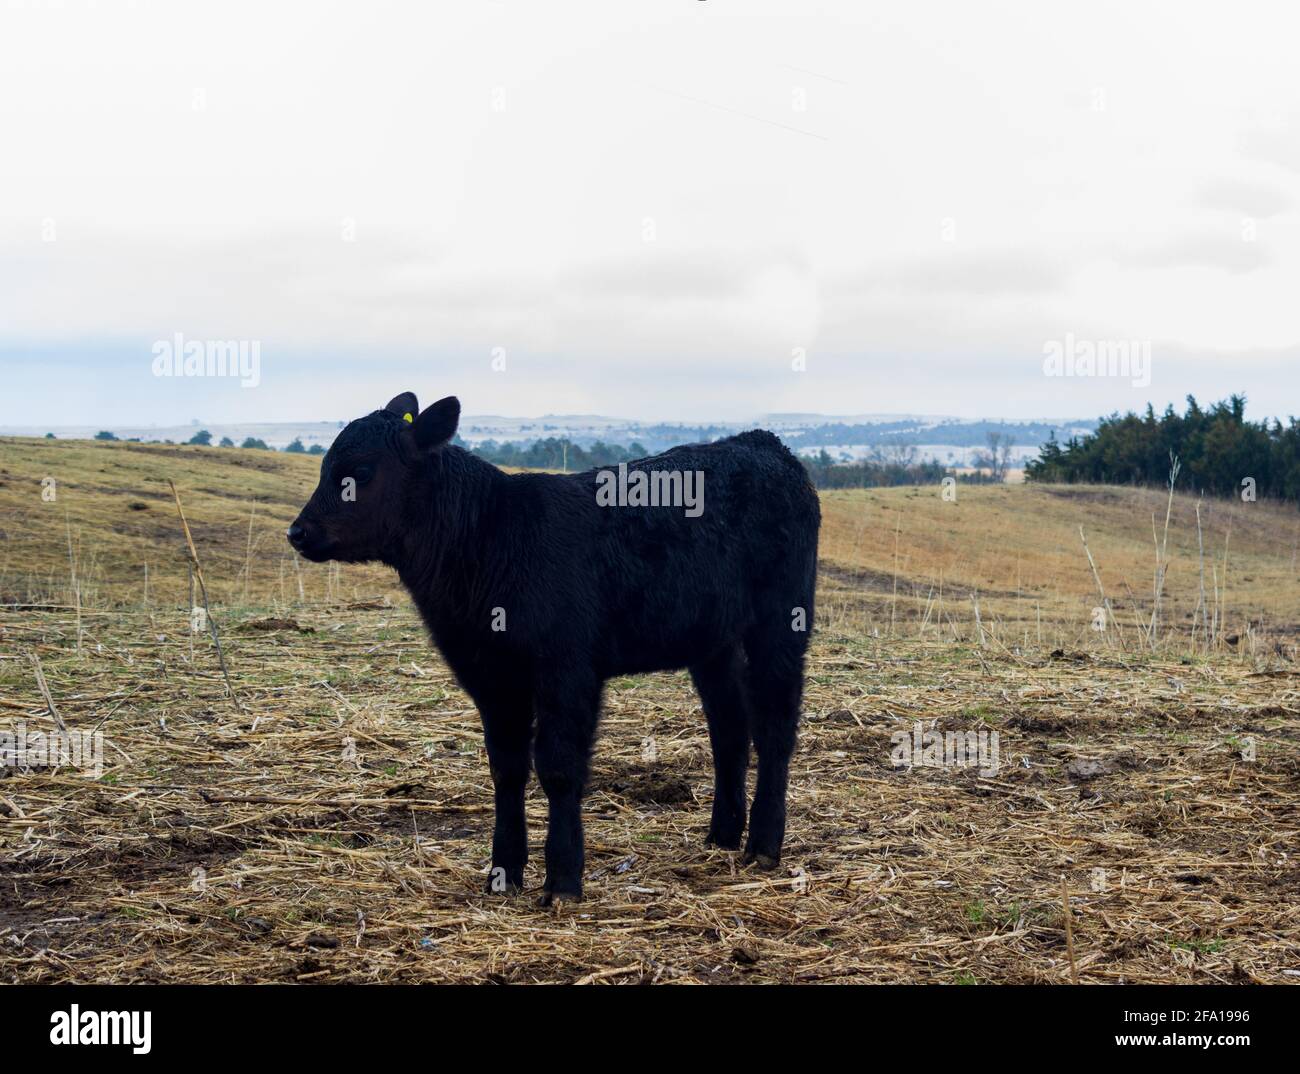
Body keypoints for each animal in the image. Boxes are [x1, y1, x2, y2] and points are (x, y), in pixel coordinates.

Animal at [288, 392, 820, 903]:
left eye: (359, 473)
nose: (298, 532)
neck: (492, 539)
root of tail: (761, 441)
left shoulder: (567, 671)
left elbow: (559, 767)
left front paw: (563, 878)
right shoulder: (490, 676)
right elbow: (506, 769)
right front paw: (504, 873)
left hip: (781, 622)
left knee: (775, 725)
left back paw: (764, 845)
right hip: (712, 642)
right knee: (729, 728)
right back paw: (723, 835)